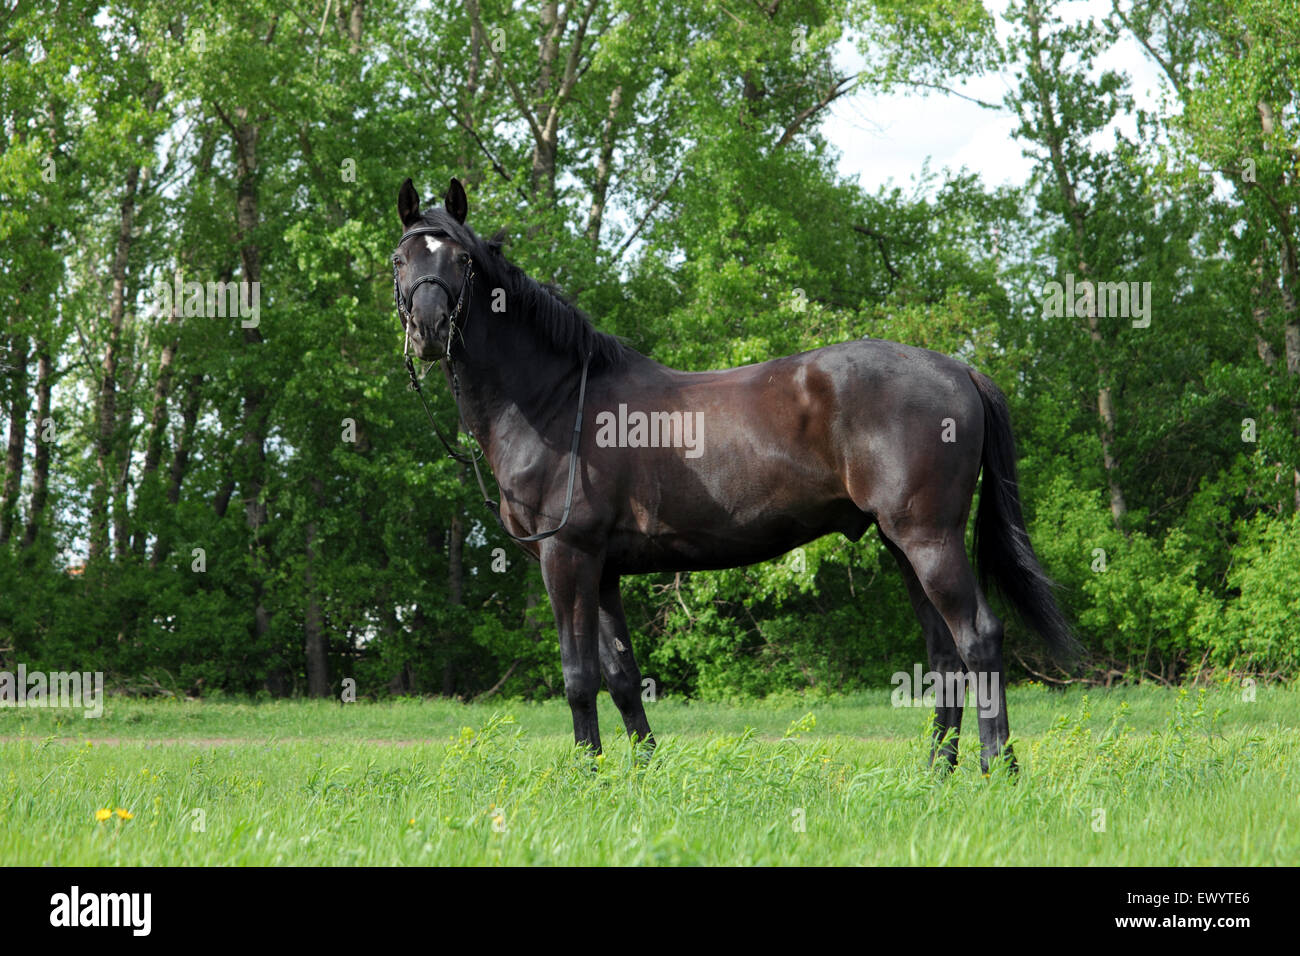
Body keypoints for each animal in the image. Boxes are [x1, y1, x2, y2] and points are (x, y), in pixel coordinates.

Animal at [391, 177, 1076, 774]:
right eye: (401, 258)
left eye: (461, 259)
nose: (427, 329)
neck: (558, 400)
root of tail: (959, 369)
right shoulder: (603, 569)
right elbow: (622, 678)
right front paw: (642, 775)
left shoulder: (568, 557)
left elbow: (579, 677)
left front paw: (588, 777)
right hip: (901, 544)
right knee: (944, 656)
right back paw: (935, 774)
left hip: (928, 539)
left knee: (979, 638)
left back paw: (999, 769)